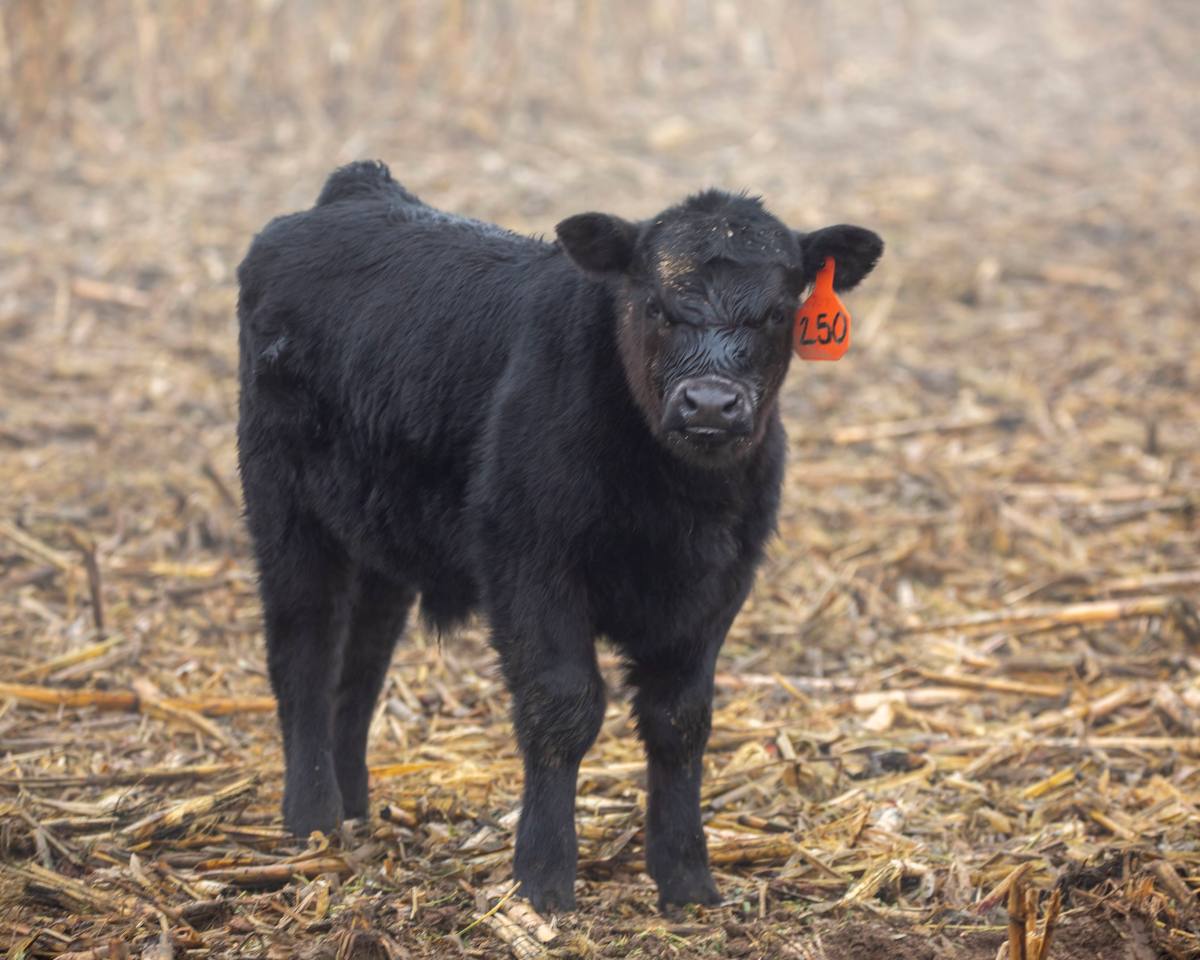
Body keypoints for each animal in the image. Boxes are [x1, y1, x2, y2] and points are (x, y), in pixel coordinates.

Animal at [236, 160, 882, 911]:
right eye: (655, 305)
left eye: (779, 312)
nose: (711, 404)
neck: (675, 508)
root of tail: (357, 188)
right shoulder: (529, 562)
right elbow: (563, 707)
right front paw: (542, 876)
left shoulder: (719, 585)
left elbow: (680, 720)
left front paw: (687, 877)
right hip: (283, 504)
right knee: (303, 649)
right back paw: (311, 819)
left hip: (378, 536)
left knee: (361, 666)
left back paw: (355, 808)